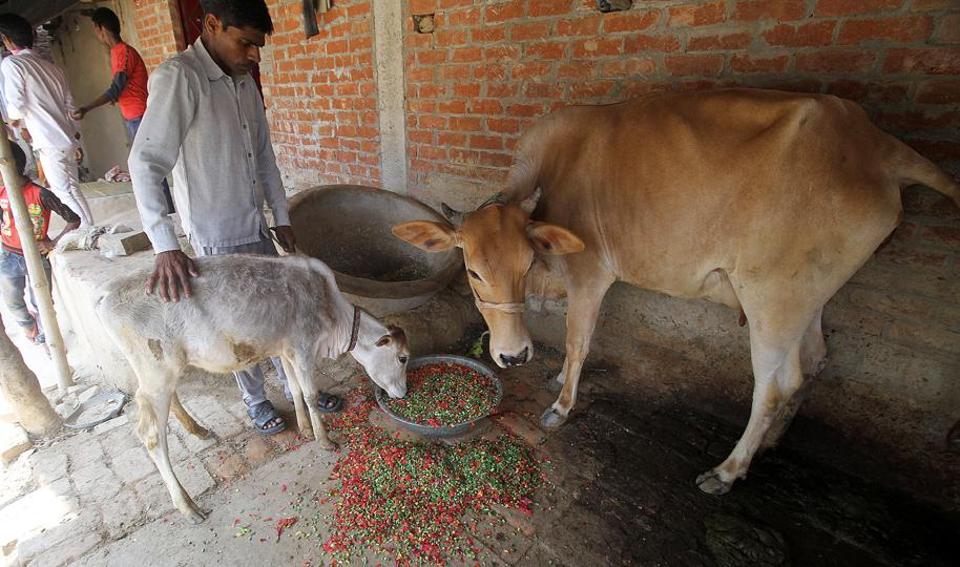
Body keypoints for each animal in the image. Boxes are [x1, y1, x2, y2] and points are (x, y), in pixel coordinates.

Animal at [97, 254, 409, 522]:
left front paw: (305, 430)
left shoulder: (286, 350)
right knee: (151, 435)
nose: (403, 393)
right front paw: (324, 440)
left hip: (162, 371)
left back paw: (198, 430)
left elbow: (295, 389)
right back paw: (187, 506)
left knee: (168, 400)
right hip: (157, 368)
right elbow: (310, 394)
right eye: (403, 357)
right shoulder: (303, 347)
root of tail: (108, 293)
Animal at [393, 88, 960, 495]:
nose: (513, 357)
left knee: (776, 383)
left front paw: (561, 404)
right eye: (472, 270)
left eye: (528, 261)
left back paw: (729, 470)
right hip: (810, 300)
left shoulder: (590, 276)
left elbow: (578, 342)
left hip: (774, 298)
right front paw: (554, 377)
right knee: (815, 362)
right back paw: (770, 445)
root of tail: (878, 144)